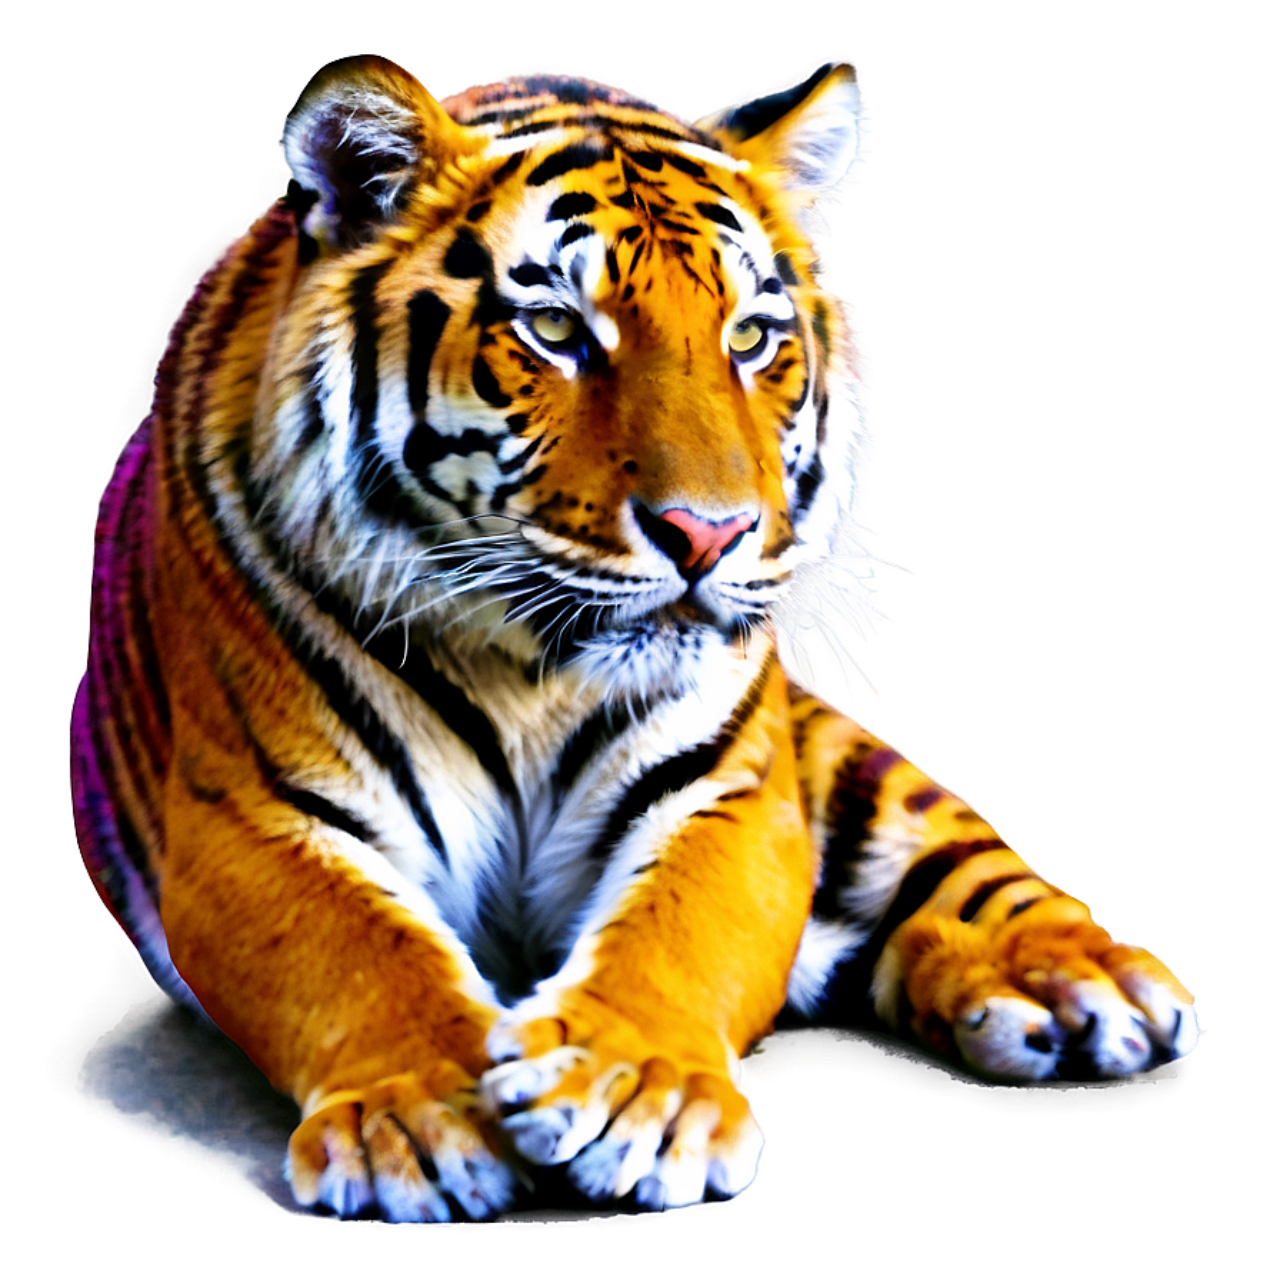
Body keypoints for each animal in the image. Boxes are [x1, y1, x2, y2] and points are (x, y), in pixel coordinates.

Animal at [70, 54, 1203, 1221]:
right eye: (557, 331)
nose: (708, 533)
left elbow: (680, 927)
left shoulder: (732, 788)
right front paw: (424, 1112)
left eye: (748, 337)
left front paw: (636, 1091)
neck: (525, 670)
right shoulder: (251, 814)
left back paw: (1081, 981)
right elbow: (356, 950)